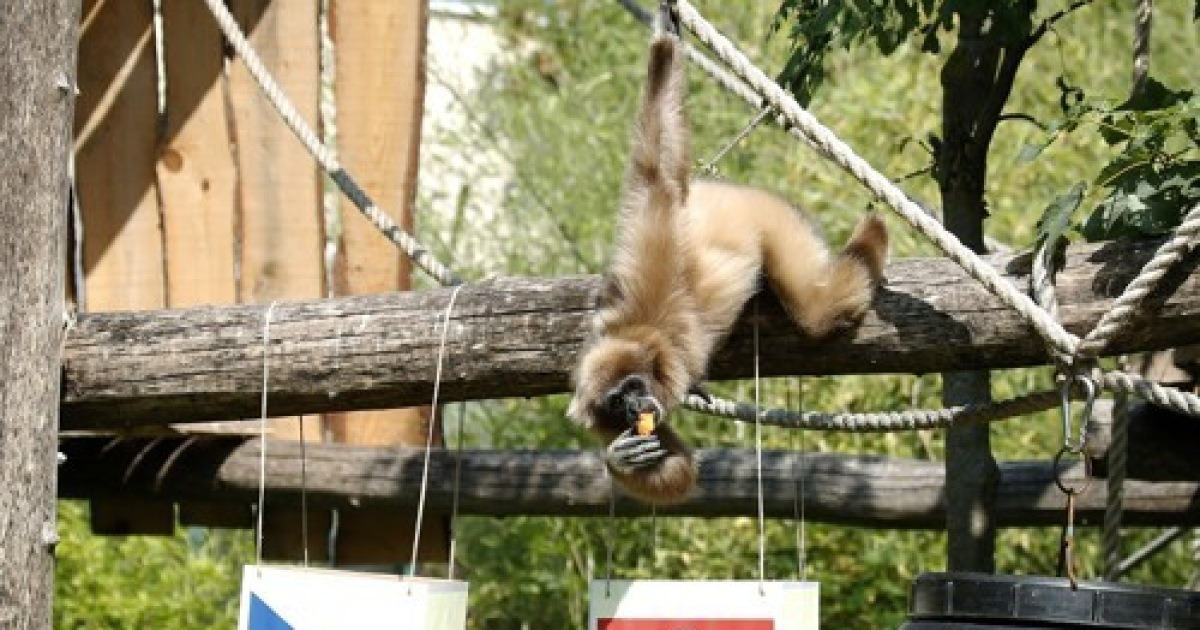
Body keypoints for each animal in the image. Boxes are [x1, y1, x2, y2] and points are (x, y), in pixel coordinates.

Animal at [567, 25, 888, 505]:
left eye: (633, 388)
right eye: (616, 404)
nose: (634, 407)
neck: (646, 333)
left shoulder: (653, 265)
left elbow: (653, 176)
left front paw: (665, 36)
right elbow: (681, 471)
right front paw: (620, 458)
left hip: (769, 217)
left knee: (817, 308)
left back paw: (872, 233)